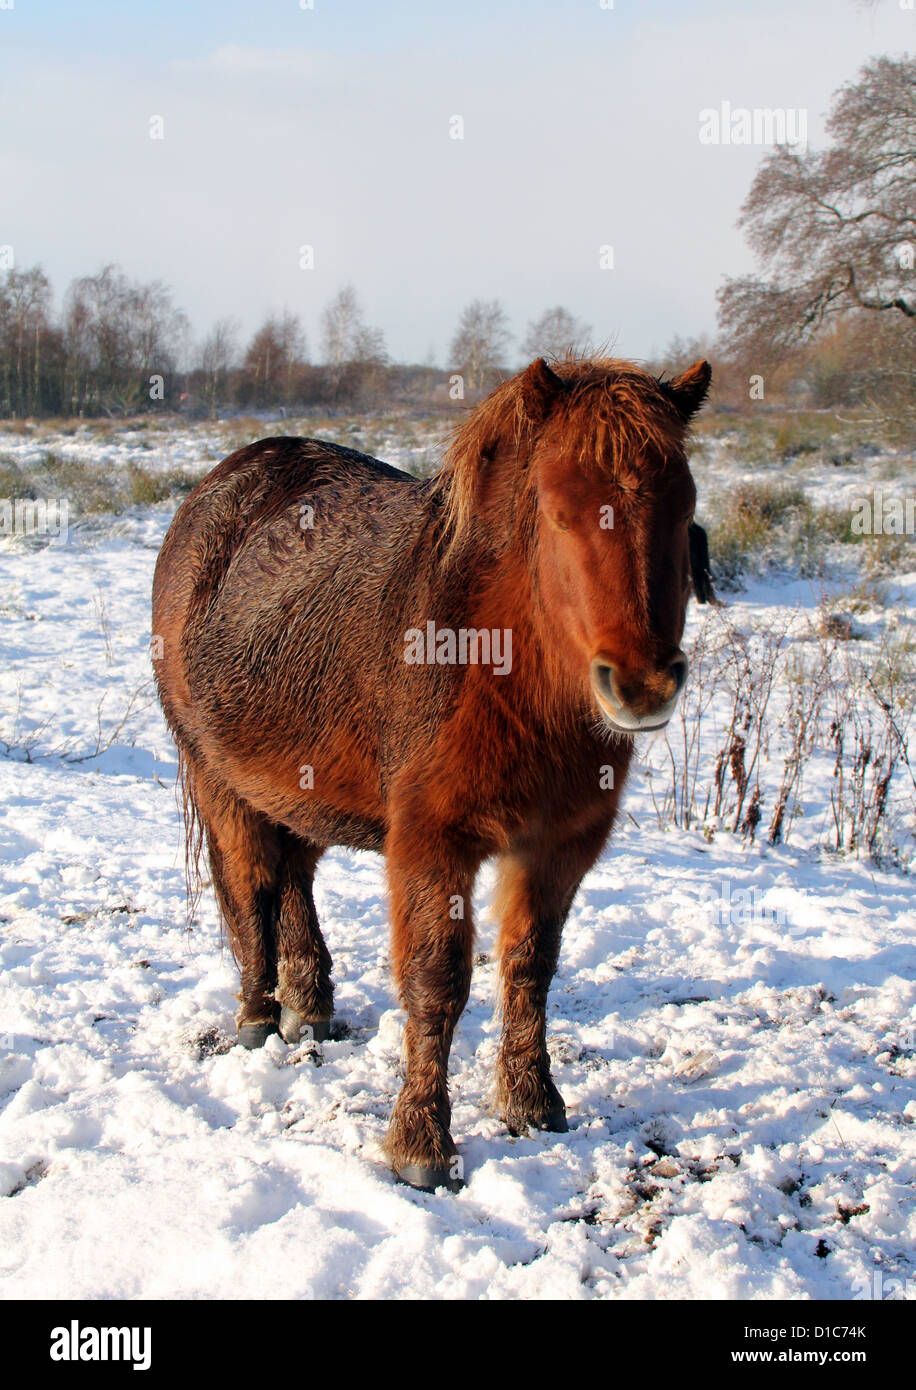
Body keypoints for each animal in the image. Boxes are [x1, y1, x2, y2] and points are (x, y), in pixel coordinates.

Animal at [152, 354, 711, 1192]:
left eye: (685, 506)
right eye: (558, 511)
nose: (642, 684)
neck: (499, 661)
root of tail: (215, 492)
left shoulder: (559, 845)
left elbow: (530, 966)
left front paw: (532, 1103)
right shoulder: (431, 842)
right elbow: (436, 980)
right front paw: (421, 1145)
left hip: (298, 788)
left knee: (294, 880)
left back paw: (309, 1006)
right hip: (220, 781)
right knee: (252, 888)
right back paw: (256, 1017)